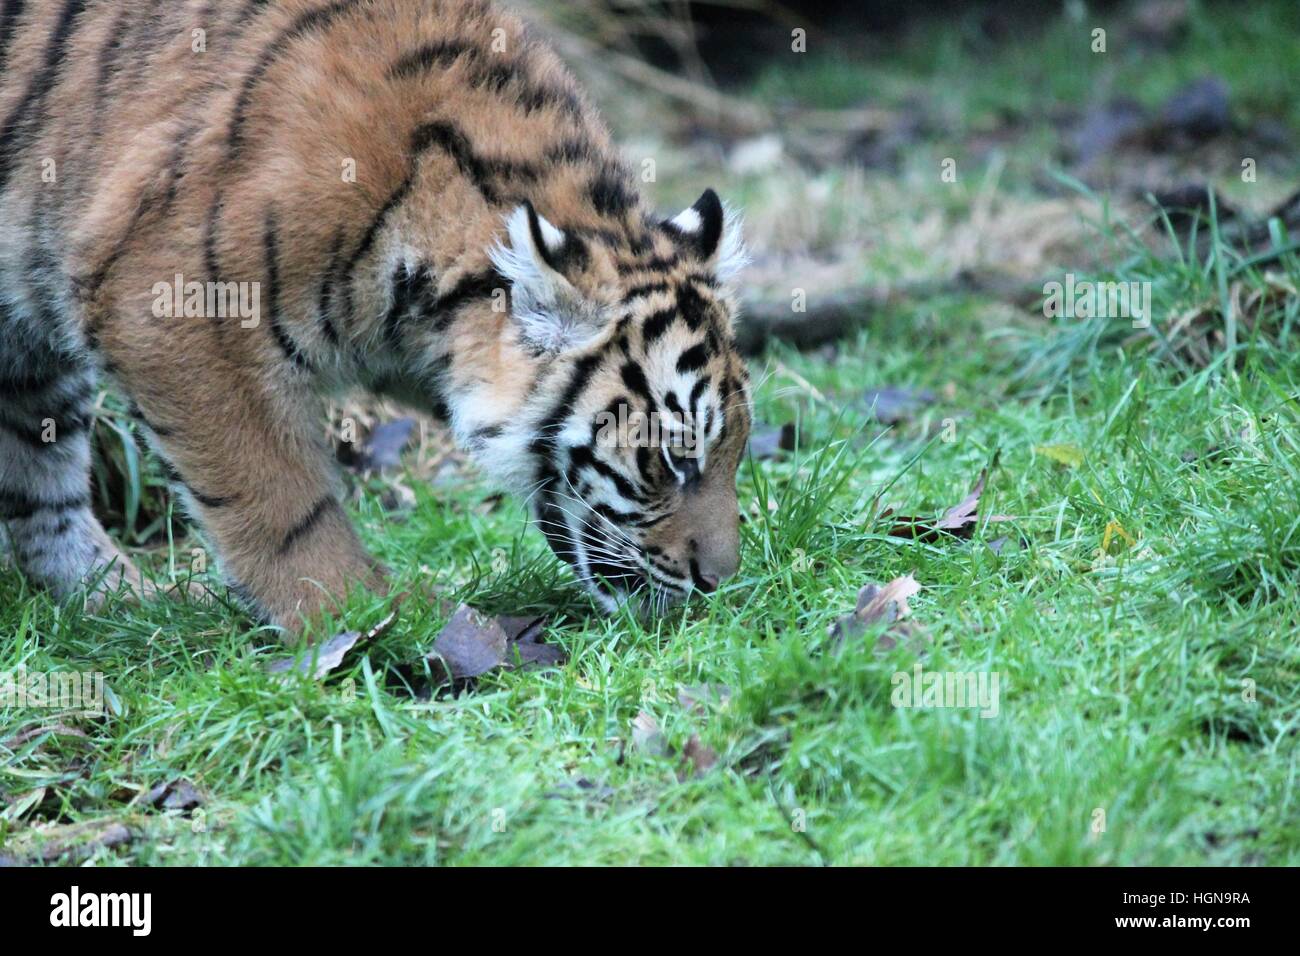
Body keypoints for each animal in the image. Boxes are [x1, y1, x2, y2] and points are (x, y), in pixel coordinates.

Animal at [0, 0, 752, 635]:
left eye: (738, 449)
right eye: (675, 459)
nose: (719, 584)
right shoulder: (172, 302)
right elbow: (279, 500)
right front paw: (358, 615)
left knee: (43, 477)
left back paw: (116, 604)